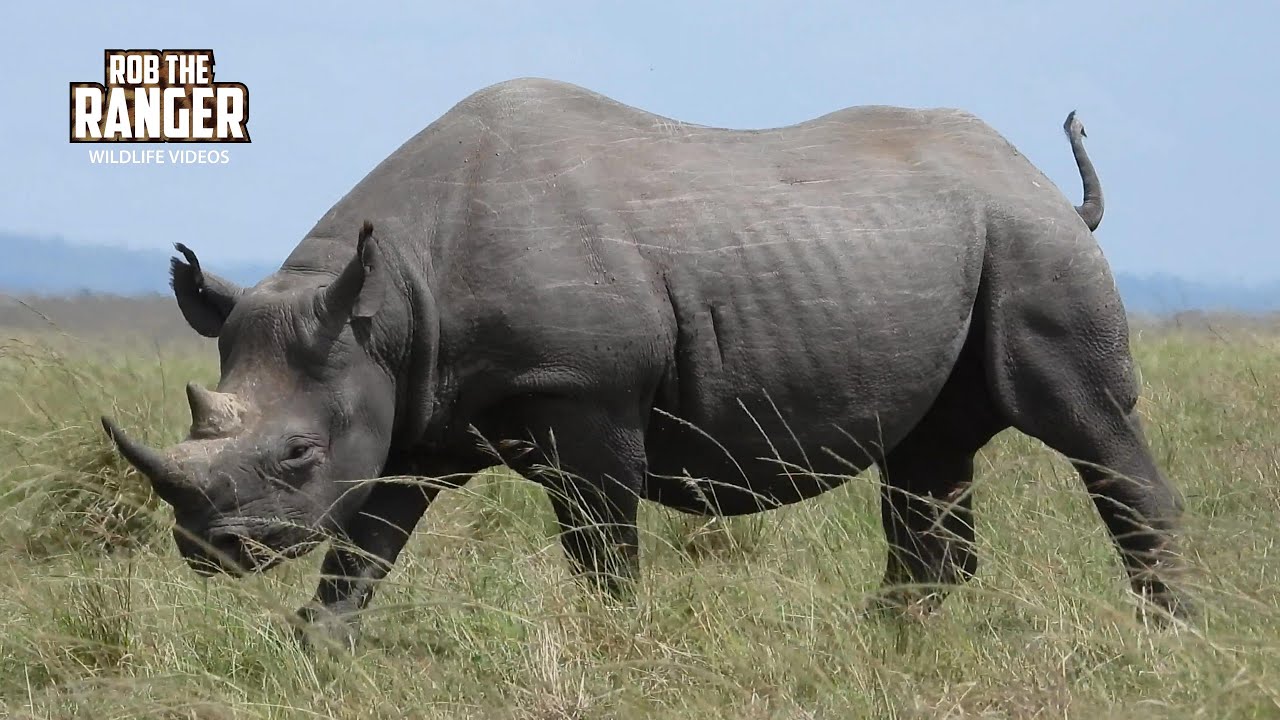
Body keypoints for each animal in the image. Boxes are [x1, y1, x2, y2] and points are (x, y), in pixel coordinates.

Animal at [101, 78, 1189, 644]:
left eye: (296, 457)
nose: (208, 548)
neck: (389, 299)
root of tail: (1042, 184)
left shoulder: (585, 396)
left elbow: (602, 554)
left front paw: (612, 647)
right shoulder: (411, 408)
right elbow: (363, 547)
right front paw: (317, 649)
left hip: (1033, 249)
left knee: (1084, 424)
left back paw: (1163, 635)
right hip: (958, 248)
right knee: (928, 457)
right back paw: (889, 641)